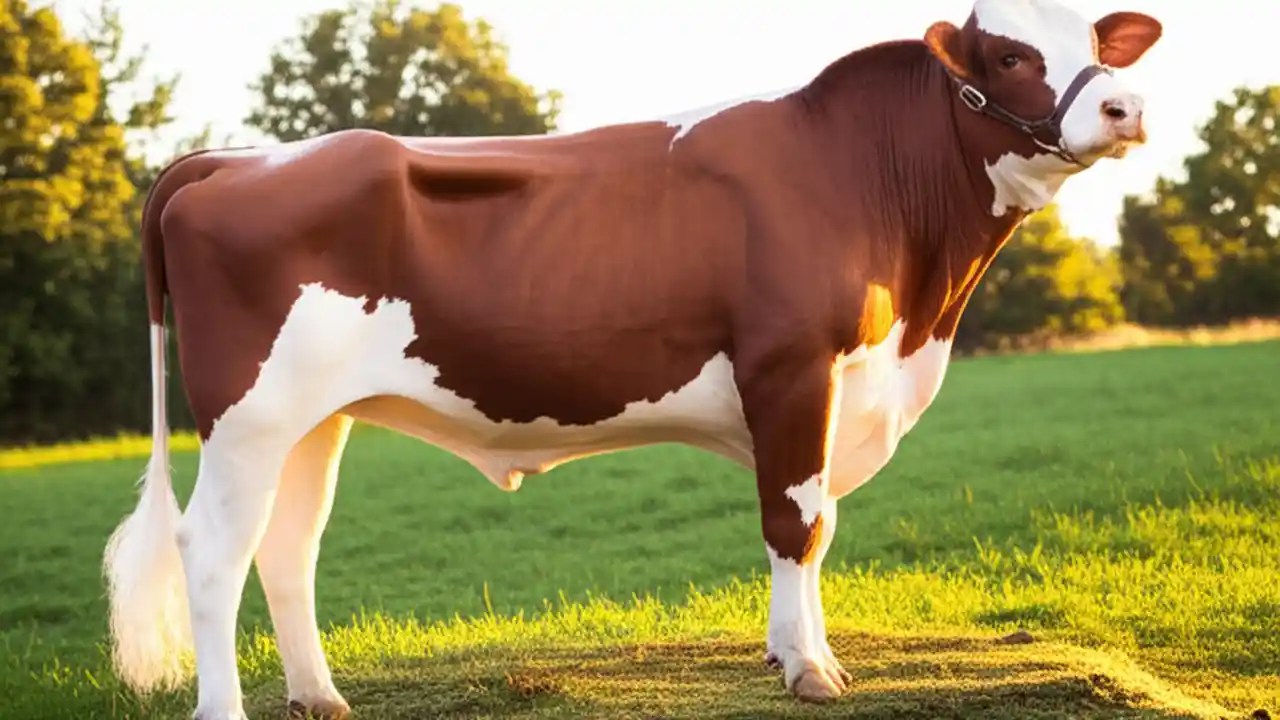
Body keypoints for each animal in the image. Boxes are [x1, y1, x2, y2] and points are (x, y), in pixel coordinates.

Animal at [102, 1, 1162, 717]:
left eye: (1097, 43)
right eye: (1013, 54)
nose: (1124, 107)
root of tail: (233, 159)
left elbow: (813, 526)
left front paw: (799, 654)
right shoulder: (793, 369)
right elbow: (797, 525)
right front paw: (810, 669)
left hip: (314, 419)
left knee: (287, 547)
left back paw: (319, 696)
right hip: (248, 416)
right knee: (212, 550)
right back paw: (226, 707)